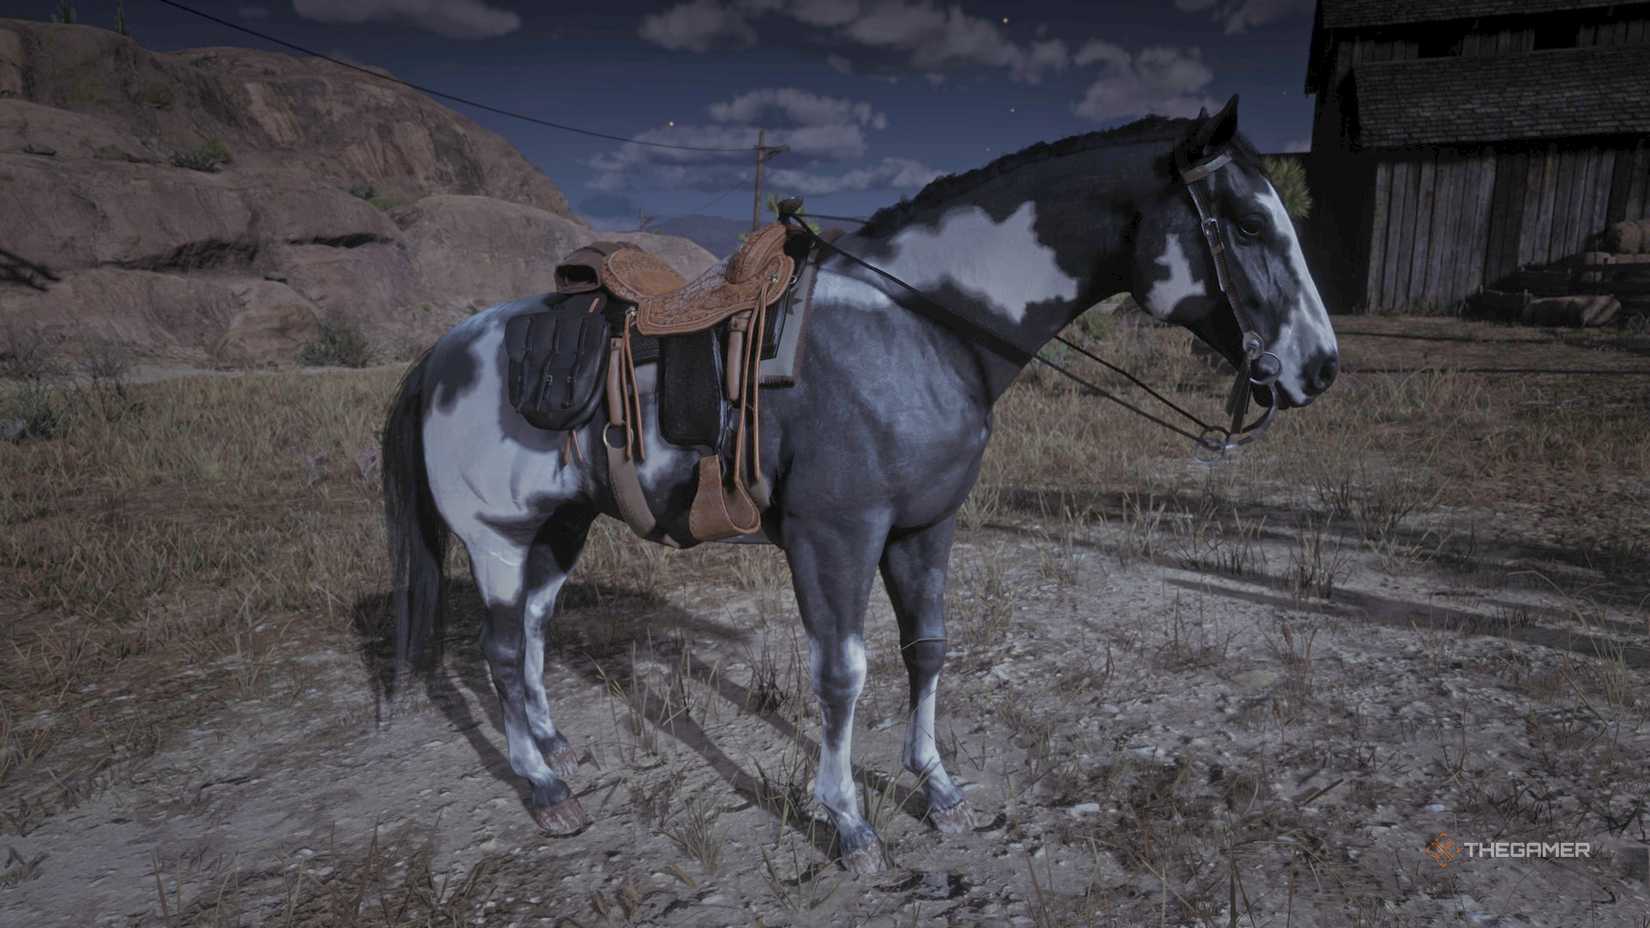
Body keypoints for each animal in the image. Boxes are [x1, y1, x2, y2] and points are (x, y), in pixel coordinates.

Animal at [380, 96, 1339, 875]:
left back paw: (555, 746)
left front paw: (938, 791)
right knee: (502, 652)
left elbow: (928, 650)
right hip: (496, 539)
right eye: (1245, 225)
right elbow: (842, 673)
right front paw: (846, 822)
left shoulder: (924, 528)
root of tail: (443, 354)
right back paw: (544, 790)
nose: (1319, 368)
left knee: (536, 630)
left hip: (559, 530)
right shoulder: (834, 536)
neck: (916, 327)